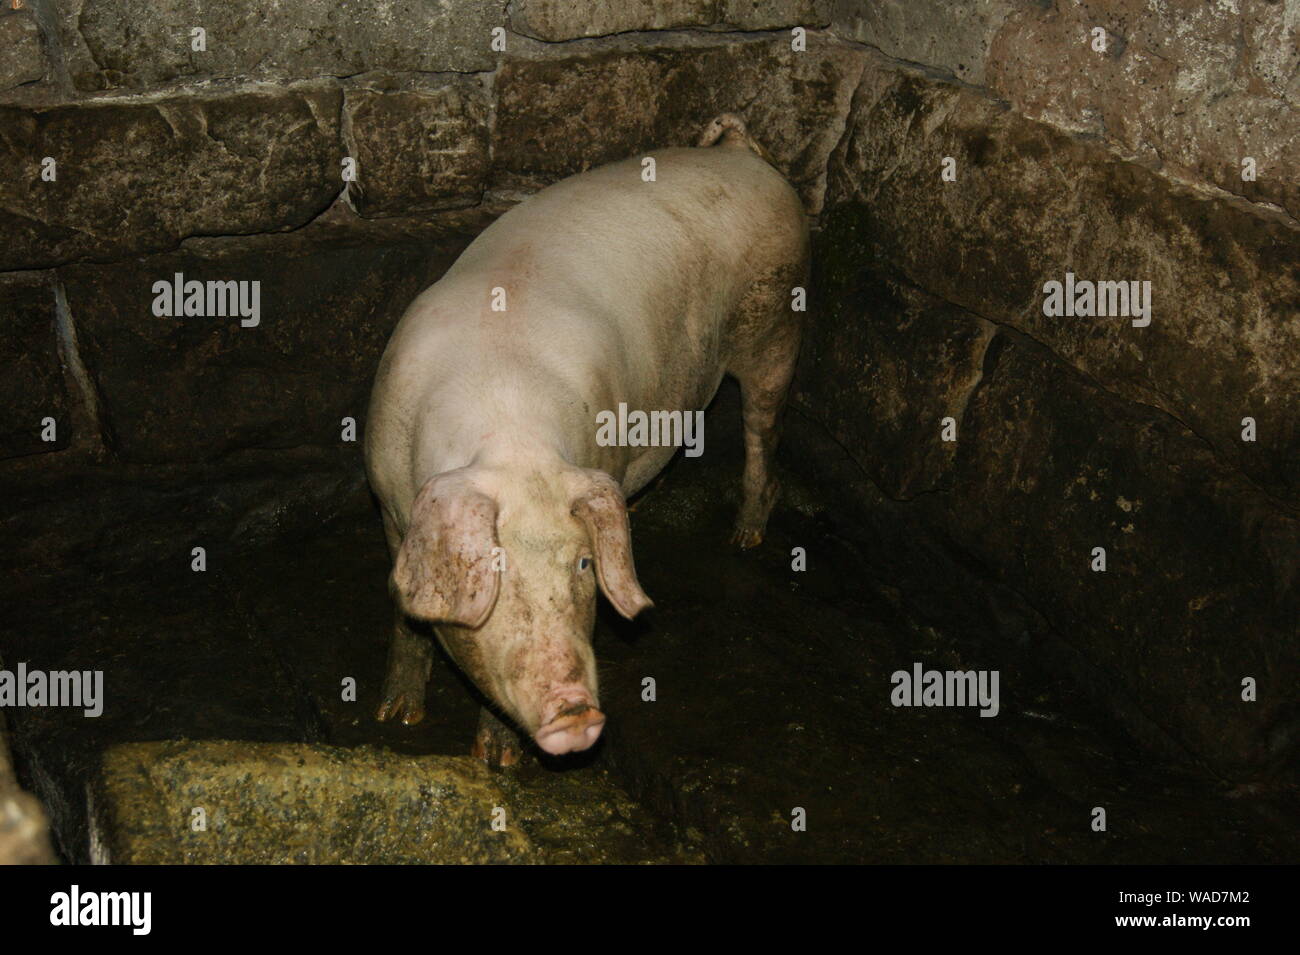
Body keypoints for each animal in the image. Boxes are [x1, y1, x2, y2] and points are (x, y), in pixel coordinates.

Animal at [364, 114, 809, 766]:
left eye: (581, 563)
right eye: (492, 570)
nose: (576, 713)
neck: (510, 432)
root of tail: (741, 154)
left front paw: (497, 761)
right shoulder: (388, 503)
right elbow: (403, 618)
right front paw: (395, 718)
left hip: (776, 323)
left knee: (762, 426)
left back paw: (745, 537)